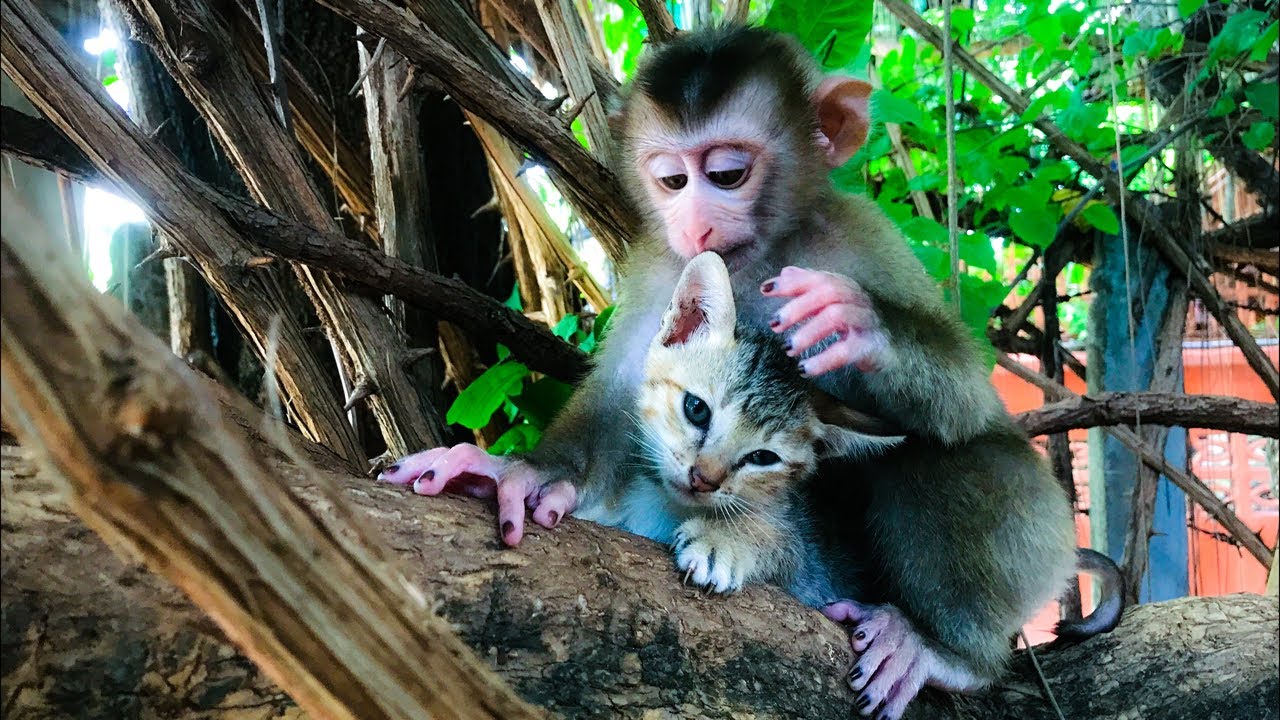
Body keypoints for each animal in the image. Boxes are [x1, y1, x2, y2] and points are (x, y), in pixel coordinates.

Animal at [380, 25, 1123, 719]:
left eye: (728, 173)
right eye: (671, 181)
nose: (698, 225)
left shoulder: (862, 232)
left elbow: (974, 399)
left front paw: (856, 321)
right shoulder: (657, 264)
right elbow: (617, 393)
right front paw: (524, 474)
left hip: (1037, 533)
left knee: (949, 456)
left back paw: (948, 655)